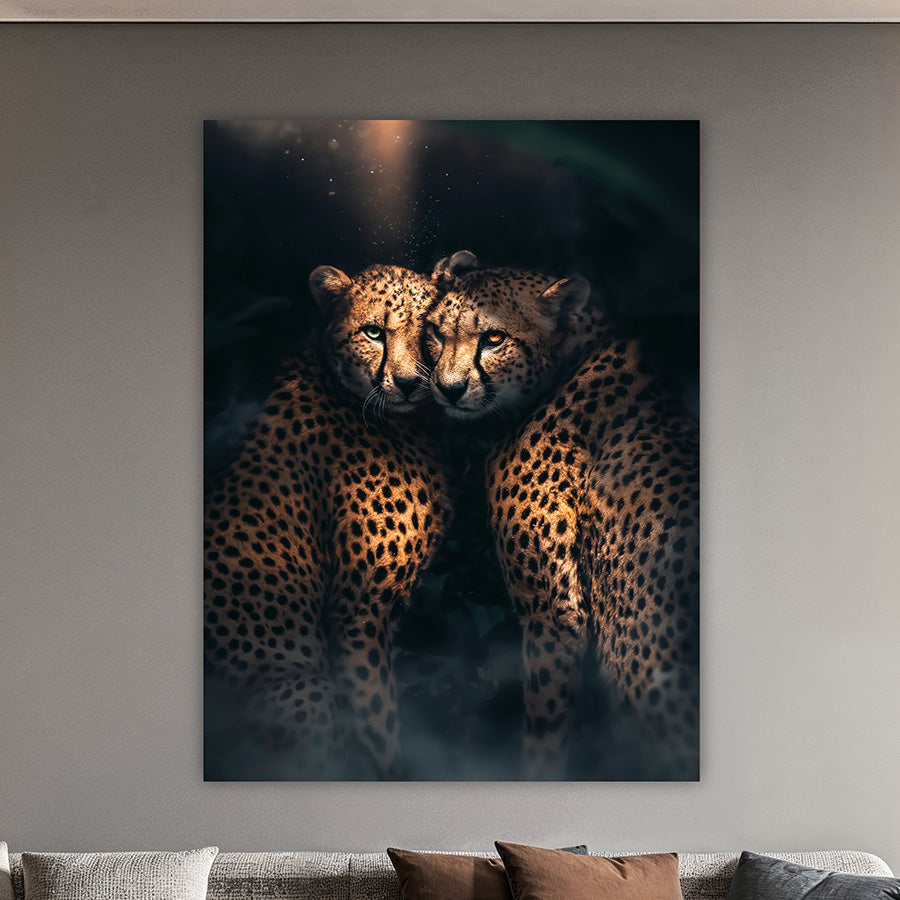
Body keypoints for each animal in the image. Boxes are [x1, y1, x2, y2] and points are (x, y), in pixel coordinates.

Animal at [204, 263, 452, 780]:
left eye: (431, 332)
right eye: (374, 332)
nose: (408, 383)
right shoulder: (359, 613)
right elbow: (378, 725)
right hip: (306, 691)